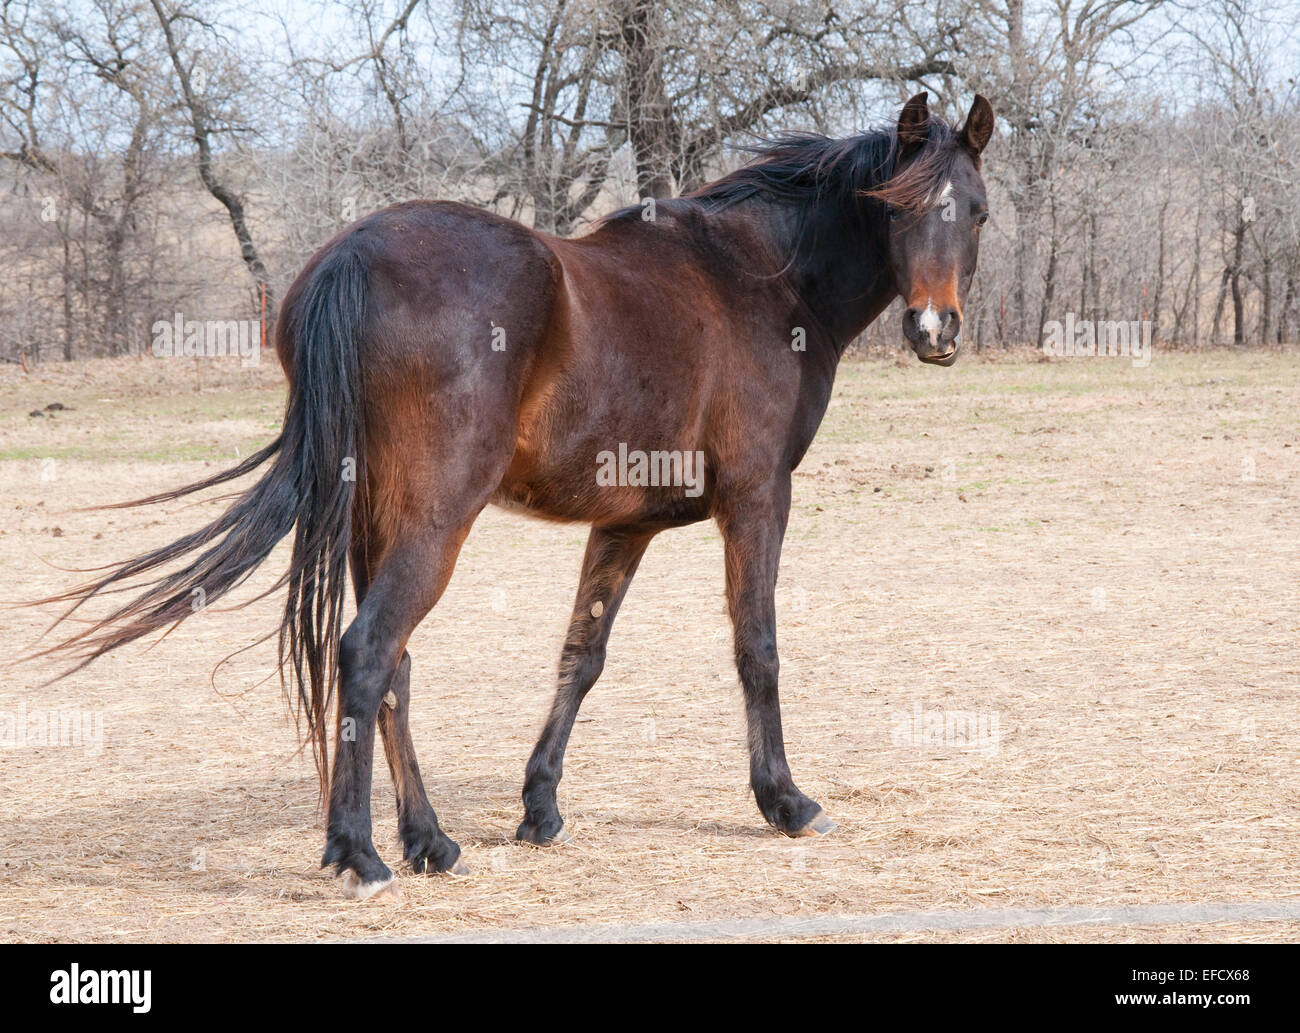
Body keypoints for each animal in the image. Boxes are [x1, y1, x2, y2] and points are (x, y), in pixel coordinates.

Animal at [36, 91, 994, 899]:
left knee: (393, 668)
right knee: (366, 651)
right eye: (899, 209)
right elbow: (756, 648)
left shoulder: (626, 525)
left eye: (976, 211)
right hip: (435, 520)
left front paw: (540, 806)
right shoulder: (759, 499)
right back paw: (362, 854)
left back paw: (430, 841)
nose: (935, 330)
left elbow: (581, 656)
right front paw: (784, 800)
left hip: (374, 522)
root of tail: (353, 255)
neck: (762, 279)